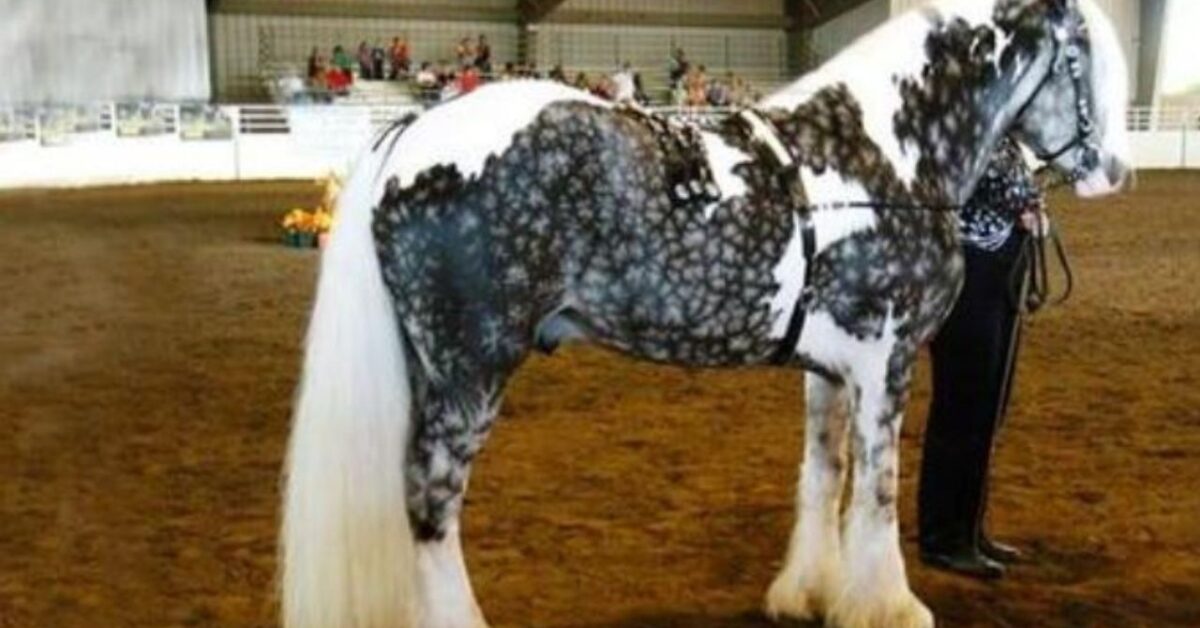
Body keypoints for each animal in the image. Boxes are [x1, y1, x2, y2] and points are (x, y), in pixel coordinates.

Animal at [280, 1, 1129, 626]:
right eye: (1083, 57)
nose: (1113, 172)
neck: (882, 154)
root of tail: (412, 133)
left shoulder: (831, 370)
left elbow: (825, 477)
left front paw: (809, 595)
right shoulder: (885, 364)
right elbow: (878, 492)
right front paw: (888, 606)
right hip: (470, 371)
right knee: (430, 505)